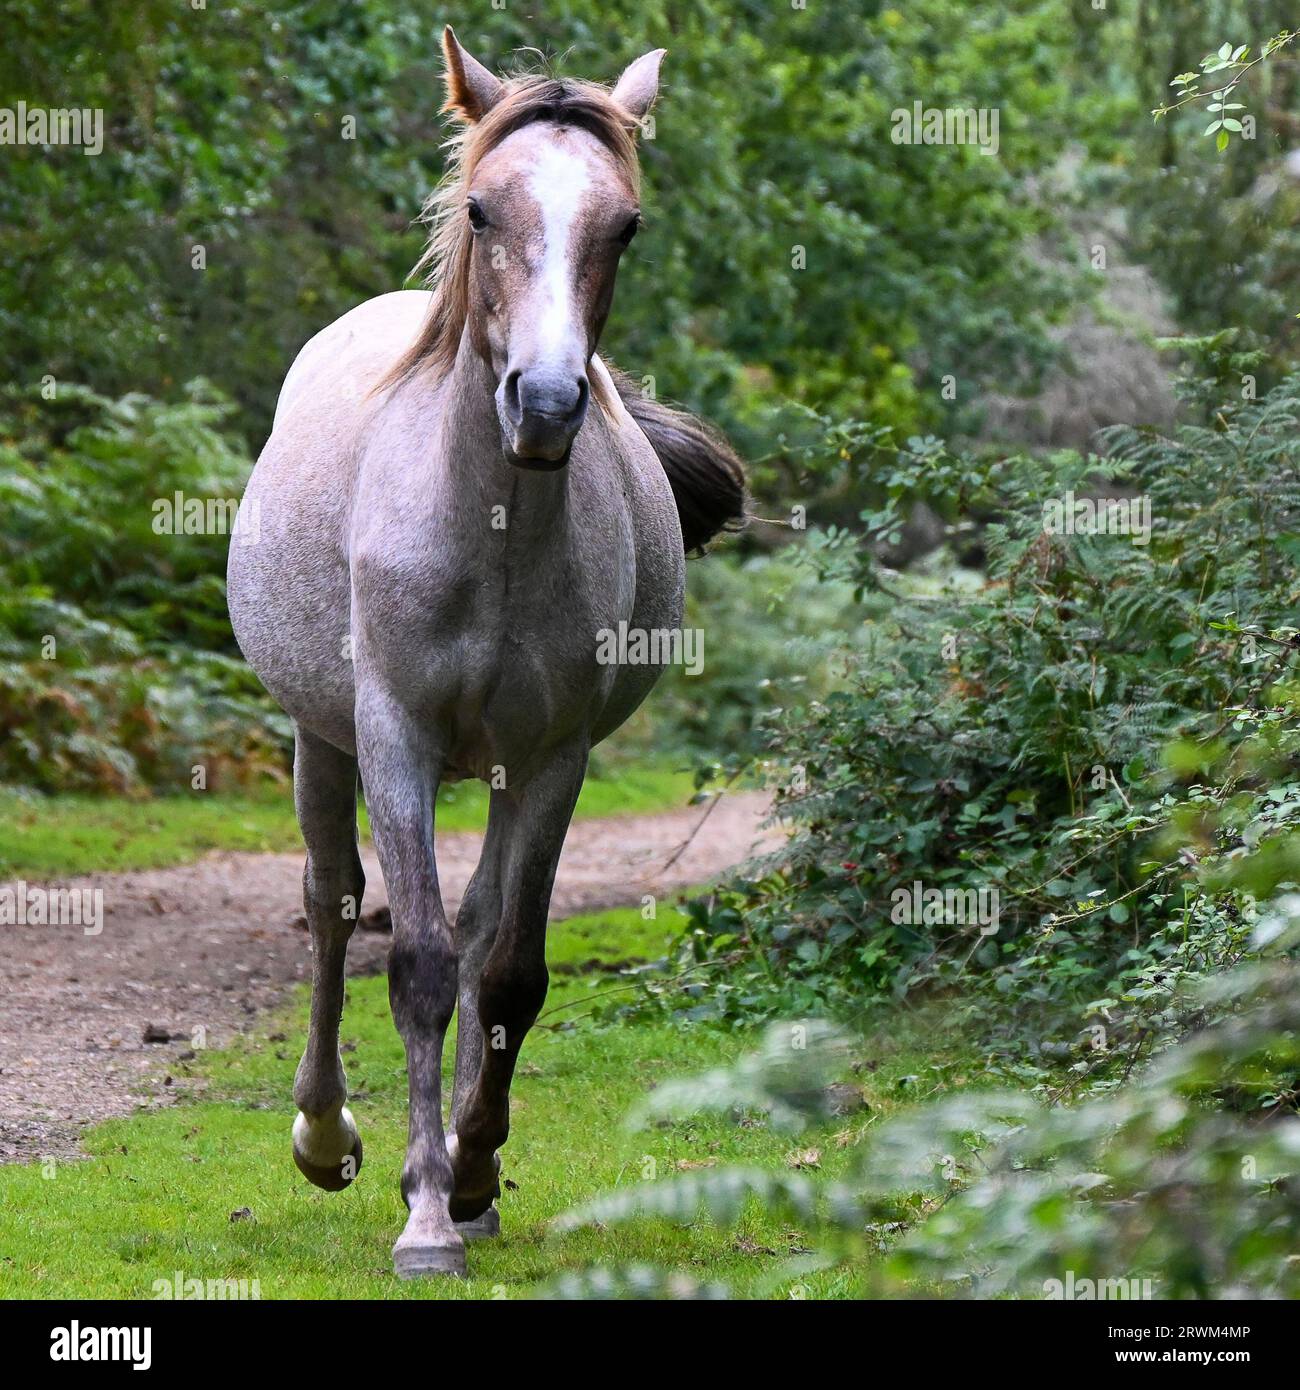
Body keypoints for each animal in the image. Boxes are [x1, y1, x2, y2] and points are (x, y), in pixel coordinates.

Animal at [227, 28, 745, 1277]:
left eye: (625, 226)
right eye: (478, 209)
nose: (545, 403)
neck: (492, 530)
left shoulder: (553, 756)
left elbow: (505, 968)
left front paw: (466, 1173)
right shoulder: (394, 738)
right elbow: (411, 961)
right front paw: (421, 1219)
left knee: (473, 931)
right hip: (320, 739)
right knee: (332, 906)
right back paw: (328, 1135)